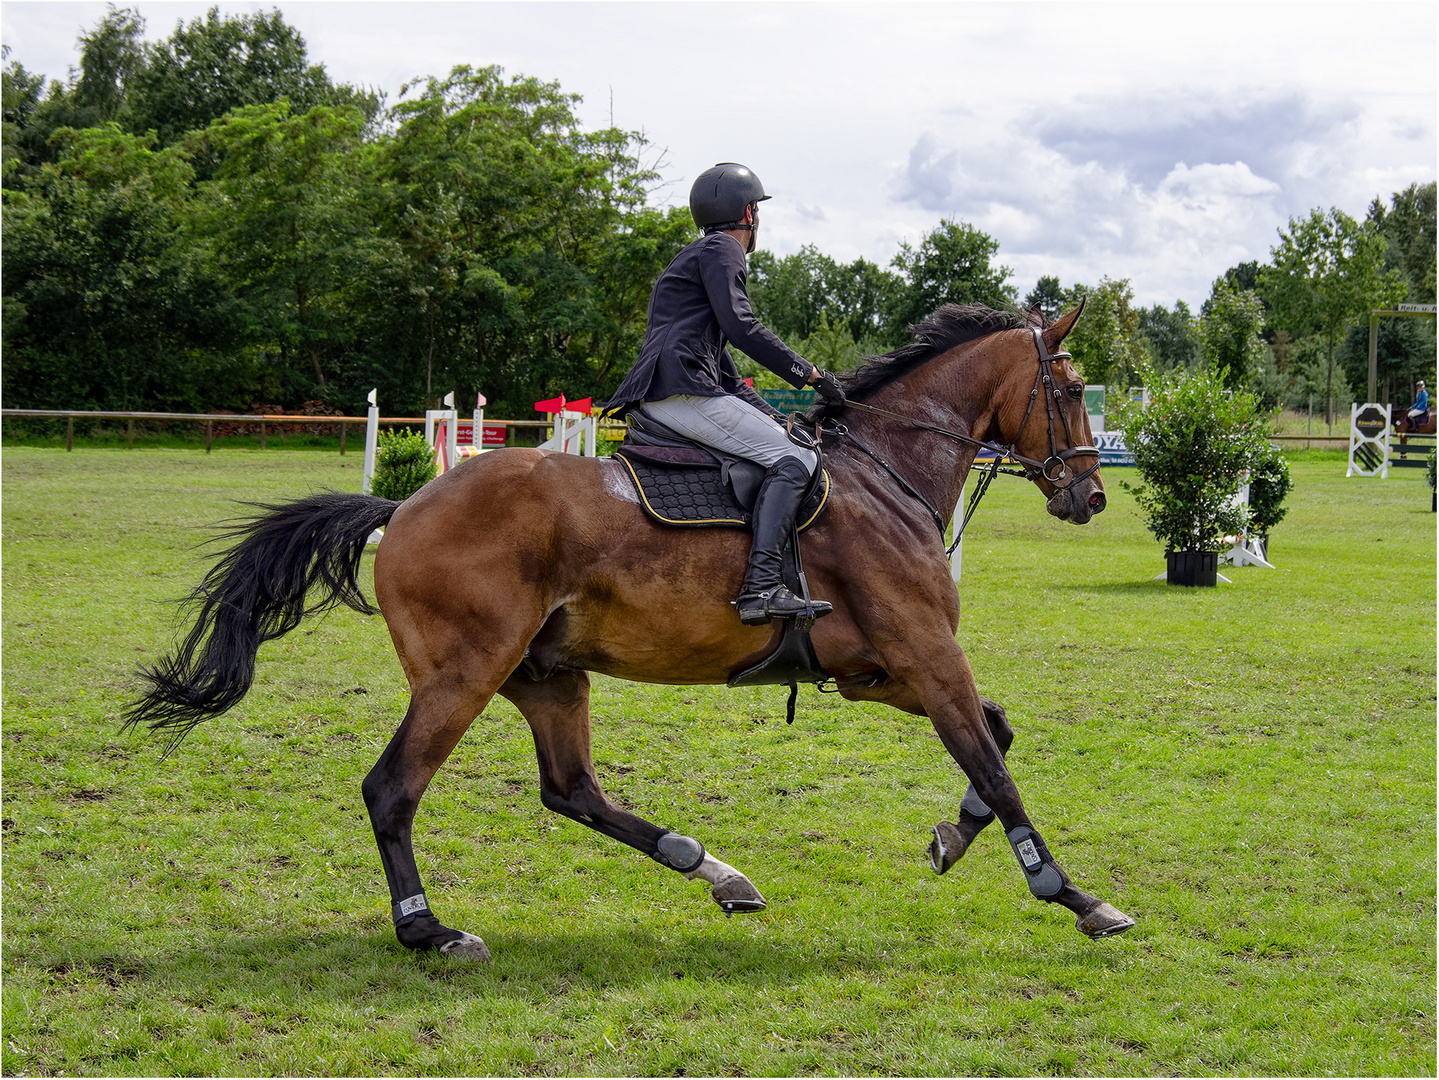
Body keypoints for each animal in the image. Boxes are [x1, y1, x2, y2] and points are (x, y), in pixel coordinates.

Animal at [123, 297, 1133, 960]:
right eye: (1073, 386)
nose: (1090, 496)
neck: (886, 470)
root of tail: (402, 506)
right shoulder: (925, 655)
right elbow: (995, 766)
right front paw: (1072, 895)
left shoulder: (881, 670)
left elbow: (994, 736)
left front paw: (948, 840)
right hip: (465, 674)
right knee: (393, 789)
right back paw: (428, 929)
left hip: (547, 675)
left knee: (572, 791)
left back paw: (716, 872)